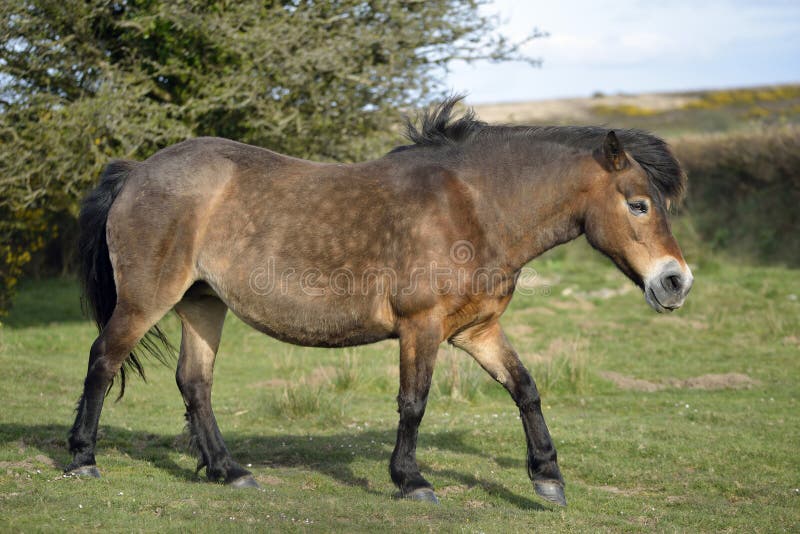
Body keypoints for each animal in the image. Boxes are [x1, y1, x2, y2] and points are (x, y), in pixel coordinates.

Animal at [66, 96, 693, 507]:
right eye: (638, 204)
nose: (675, 282)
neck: (474, 208)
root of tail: (136, 172)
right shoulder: (422, 328)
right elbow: (413, 403)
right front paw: (412, 481)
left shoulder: (476, 331)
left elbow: (526, 388)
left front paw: (547, 476)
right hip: (147, 299)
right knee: (102, 361)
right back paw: (83, 459)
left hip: (202, 303)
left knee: (195, 382)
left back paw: (228, 470)